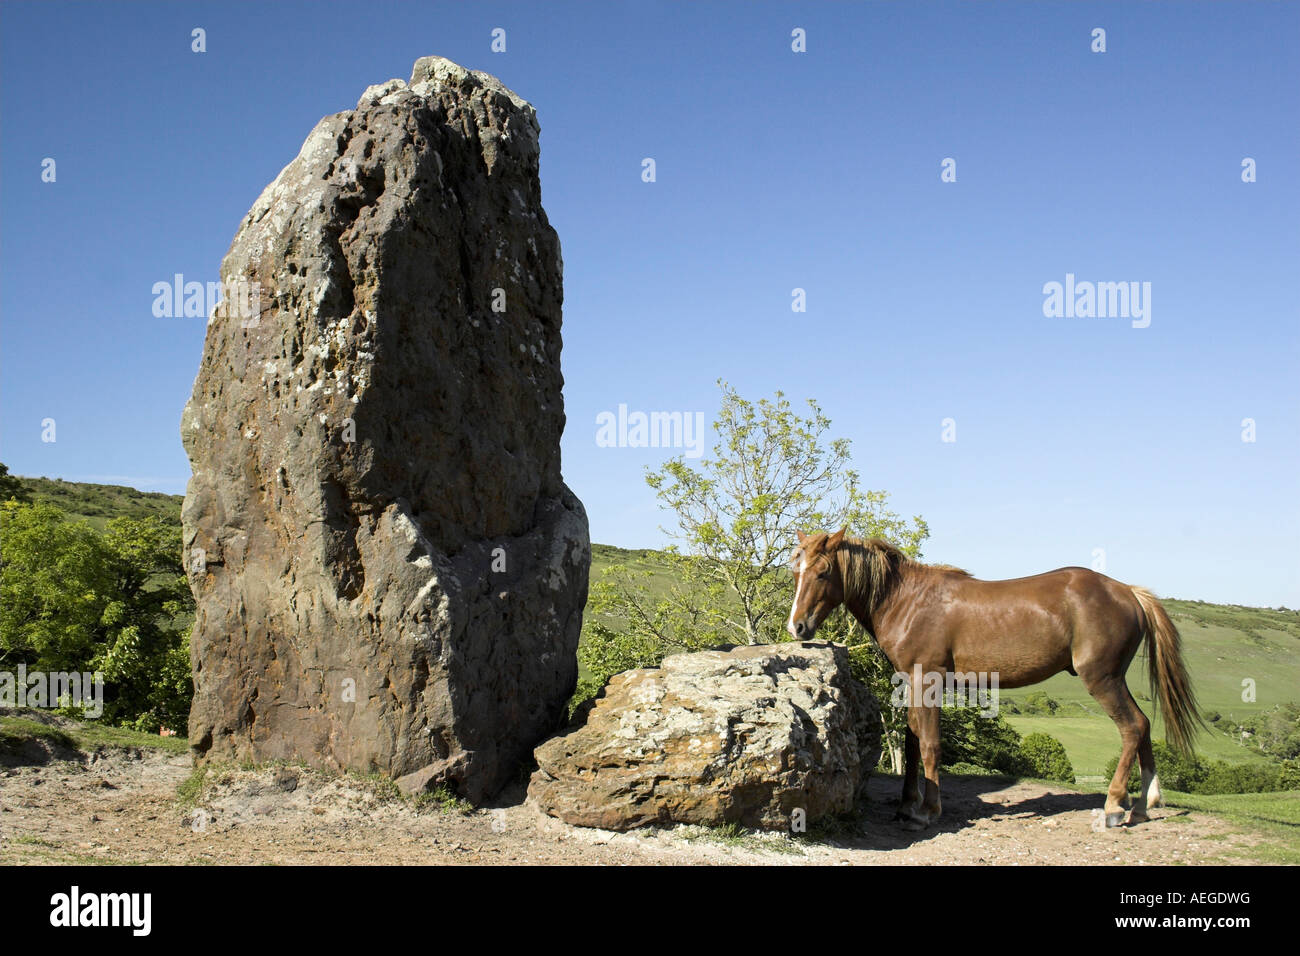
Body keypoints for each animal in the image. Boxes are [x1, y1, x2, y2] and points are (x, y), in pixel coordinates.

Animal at [787, 528, 1201, 830]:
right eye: (796, 572)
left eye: (823, 572)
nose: (797, 627)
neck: (907, 599)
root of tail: (1129, 592)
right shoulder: (911, 683)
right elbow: (912, 743)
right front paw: (906, 806)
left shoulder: (928, 680)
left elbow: (930, 746)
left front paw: (928, 811)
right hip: (1115, 679)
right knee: (1144, 725)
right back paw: (1144, 805)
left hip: (1102, 678)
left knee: (1133, 727)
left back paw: (1115, 806)